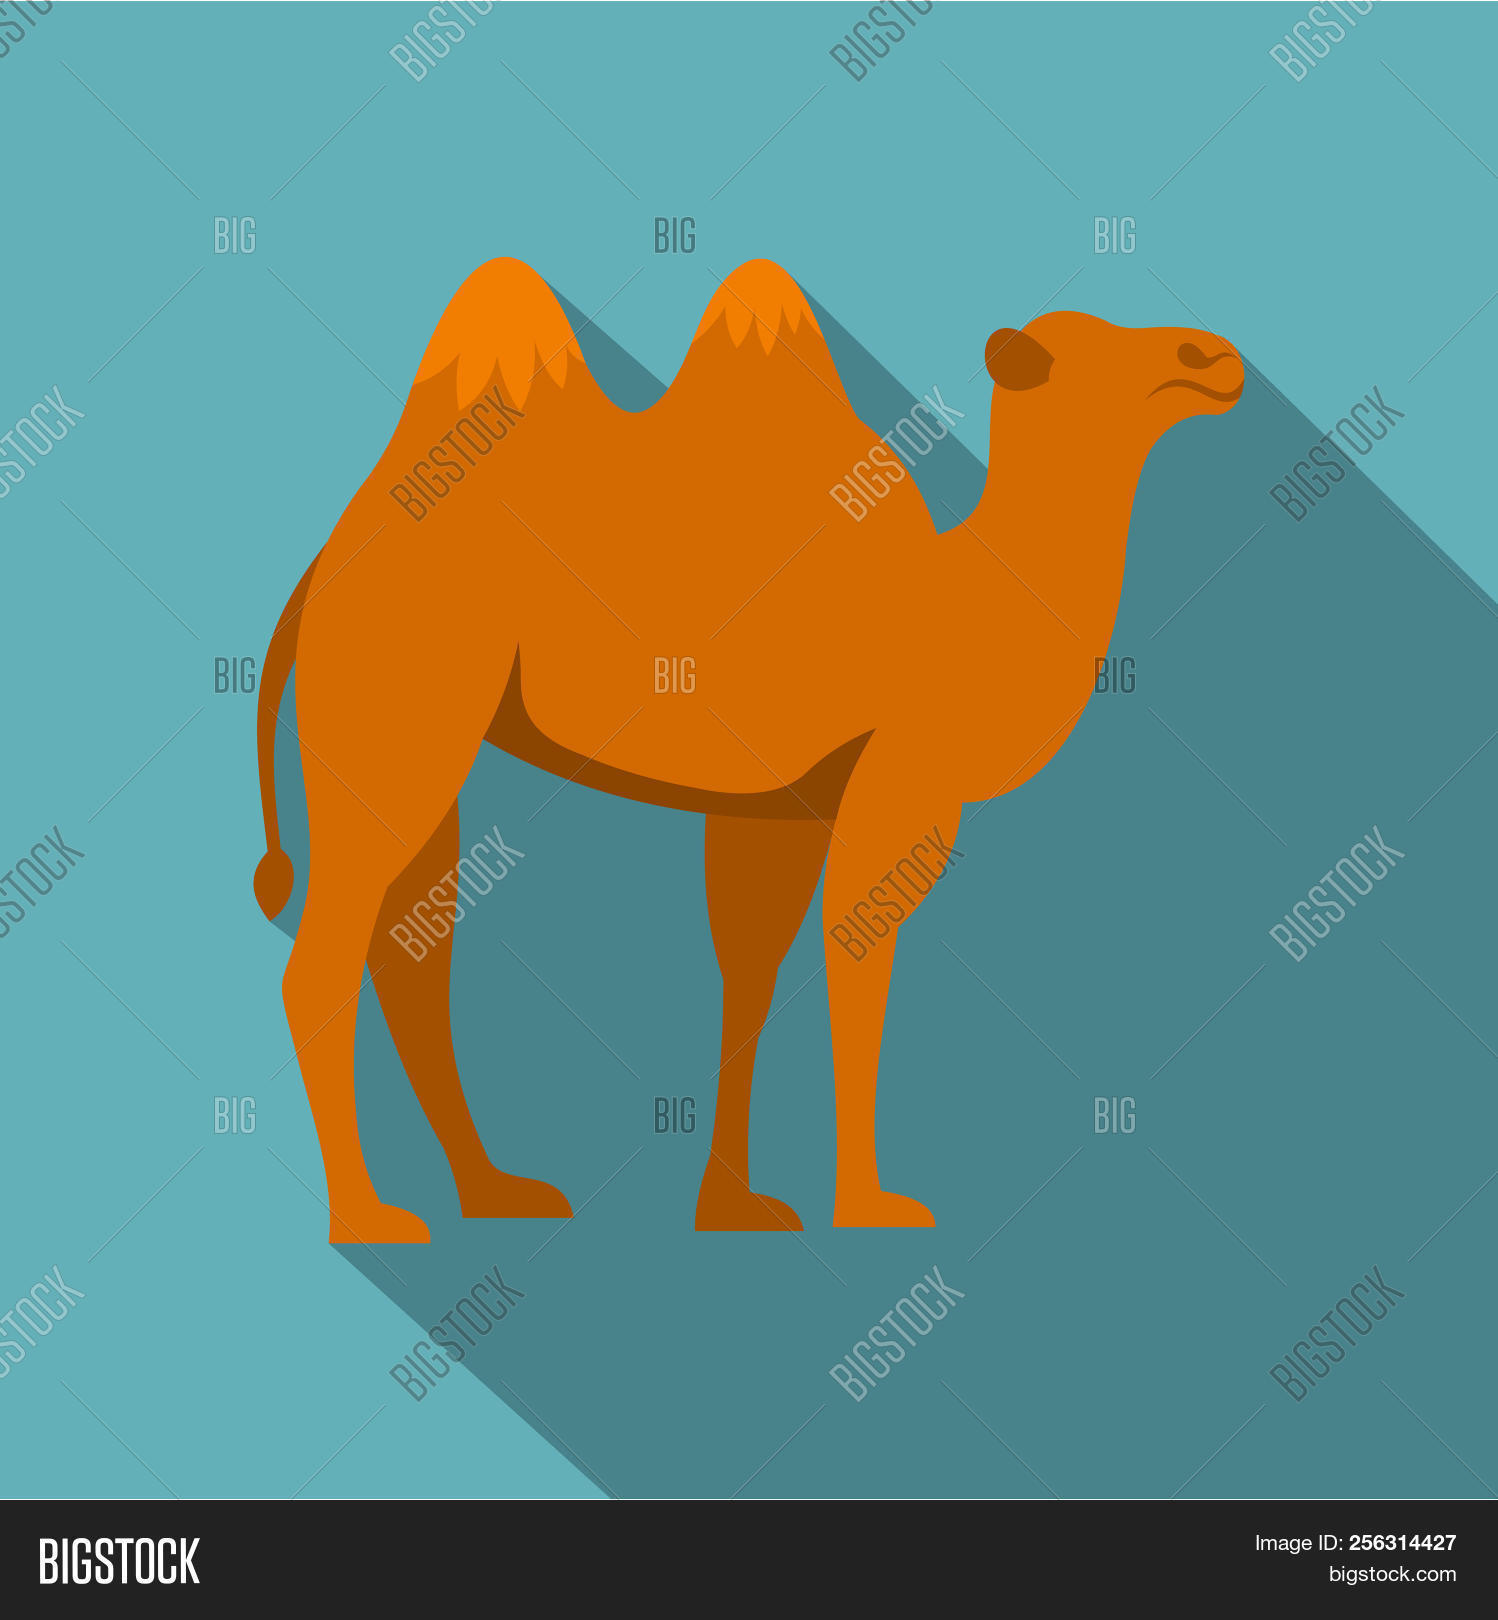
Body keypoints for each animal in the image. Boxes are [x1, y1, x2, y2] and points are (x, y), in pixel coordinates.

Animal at [253, 258, 1243, 1242]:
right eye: (1080, 351)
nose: (1213, 356)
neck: (957, 607)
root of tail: (322, 569)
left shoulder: (781, 806)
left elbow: (751, 971)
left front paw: (735, 1207)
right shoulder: (900, 778)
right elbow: (855, 954)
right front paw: (868, 1207)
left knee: (412, 946)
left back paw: (494, 1192)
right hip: (399, 707)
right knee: (325, 960)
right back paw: (367, 1216)